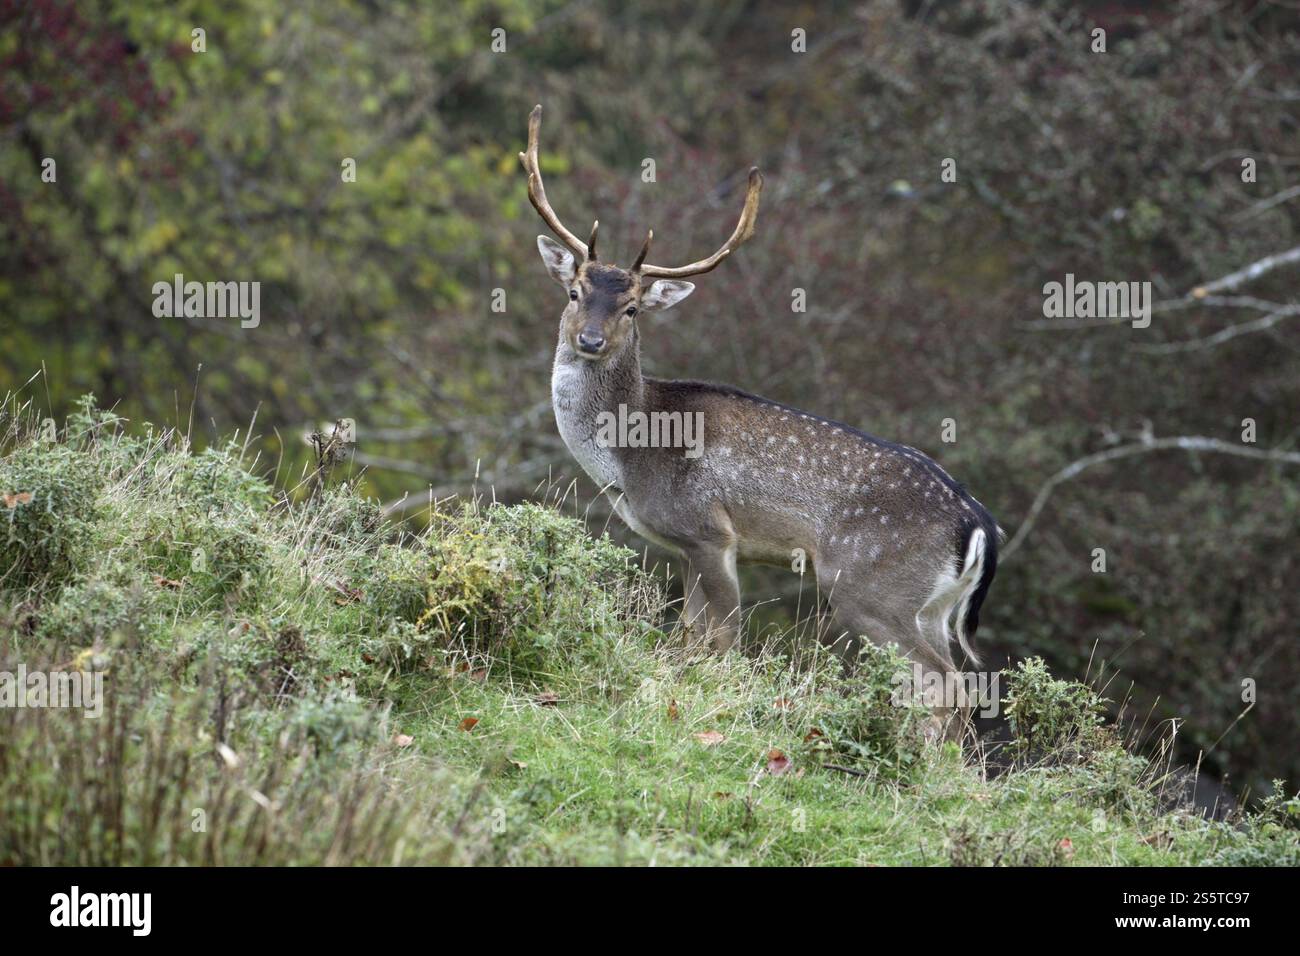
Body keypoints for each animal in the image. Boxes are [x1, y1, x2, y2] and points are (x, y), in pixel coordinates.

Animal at [521, 105, 1000, 728]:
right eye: (575, 292)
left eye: (631, 308)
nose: (591, 341)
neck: (628, 460)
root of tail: (978, 524)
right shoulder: (683, 546)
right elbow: (687, 637)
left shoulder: (709, 529)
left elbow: (721, 639)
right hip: (934, 606)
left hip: (868, 585)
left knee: (945, 684)